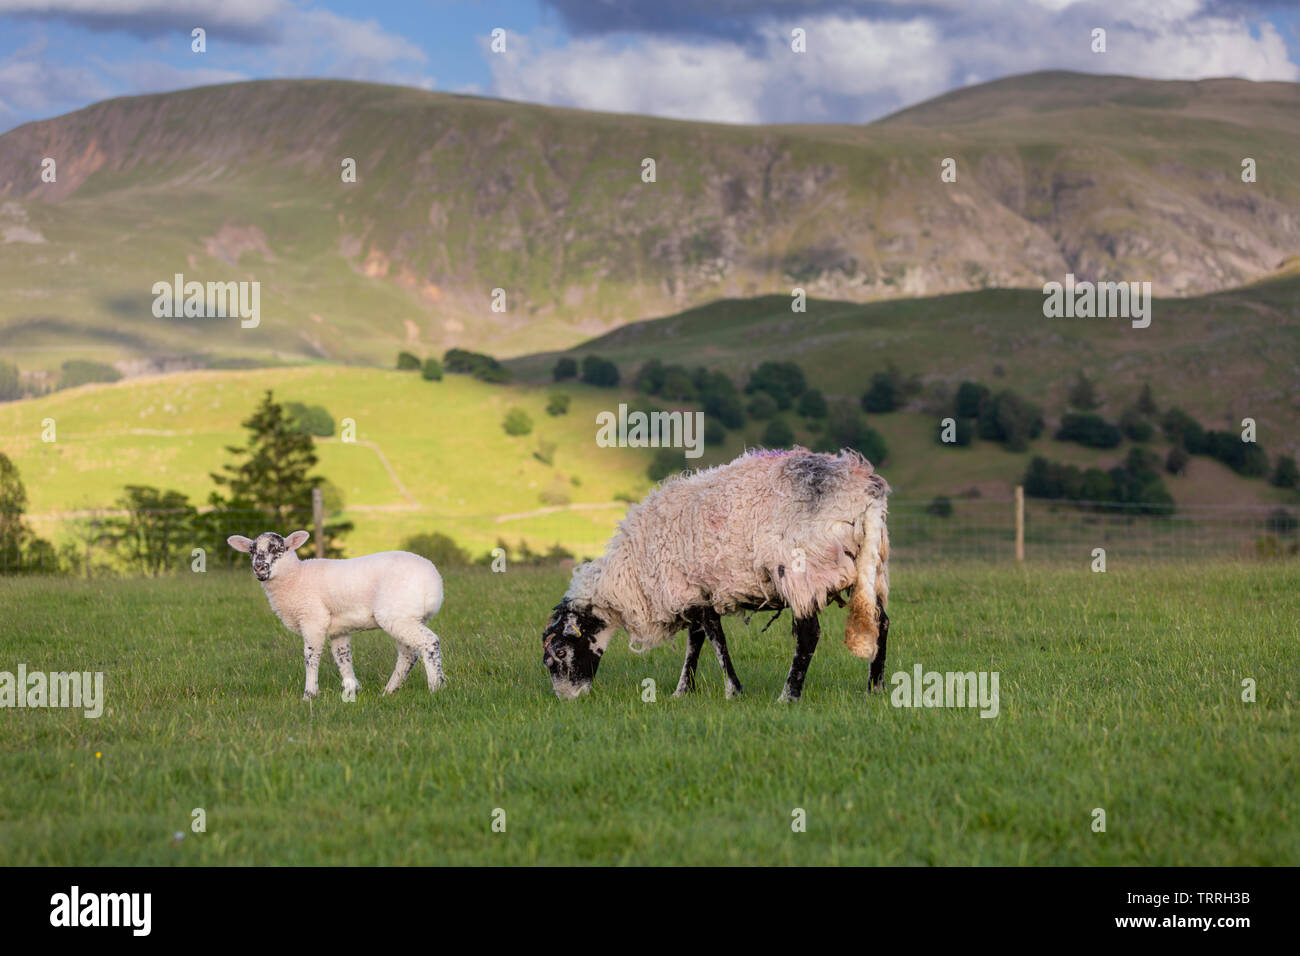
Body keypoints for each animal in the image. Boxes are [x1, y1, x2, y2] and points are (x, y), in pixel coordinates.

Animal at [227, 530, 446, 700]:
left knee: (429, 642)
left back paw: (436, 687)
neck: (295, 577)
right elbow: (342, 657)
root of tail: (434, 583)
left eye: (278, 549)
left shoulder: (313, 619)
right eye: (251, 550)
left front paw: (309, 694)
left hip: (397, 614)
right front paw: (353, 689)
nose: (259, 567)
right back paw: (390, 691)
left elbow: (311, 657)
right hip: (406, 616)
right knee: (408, 654)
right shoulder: (338, 628)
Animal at [541, 447, 890, 701]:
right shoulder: (694, 593)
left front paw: (732, 690)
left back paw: (788, 695)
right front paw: (683, 691)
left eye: (560, 652)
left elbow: (715, 640)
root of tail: (863, 494)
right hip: (870, 566)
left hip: (801, 571)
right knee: (882, 621)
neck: (629, 576)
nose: (568, 699)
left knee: (809, 634)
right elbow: (695, 642)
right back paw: (875, 688)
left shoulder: (697, 590)